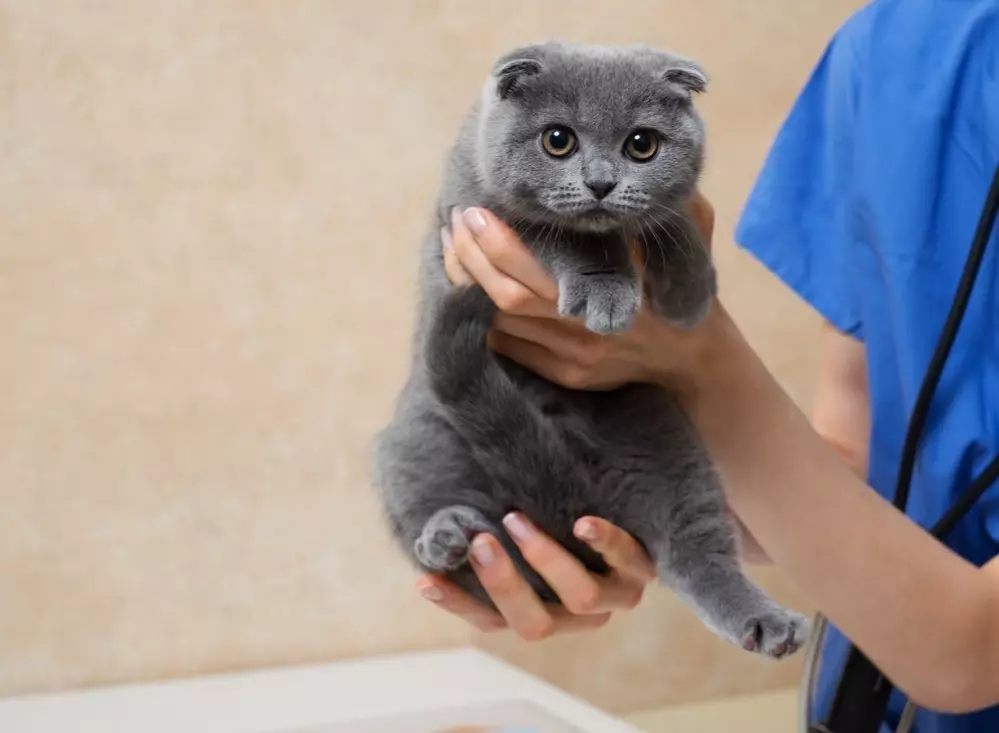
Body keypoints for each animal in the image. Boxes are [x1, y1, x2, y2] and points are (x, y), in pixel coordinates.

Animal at [372, 43, 808, 656]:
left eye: (642, 144)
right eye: (558, 140)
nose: (601, 182)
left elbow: (671, 220)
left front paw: (688, 291)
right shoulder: (472, 212)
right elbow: (567, 235)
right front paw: (607, 287)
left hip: (661, 435)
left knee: (694, 549)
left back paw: (765, 624)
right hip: (419, 437)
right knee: (441, 525)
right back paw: (449, 534)